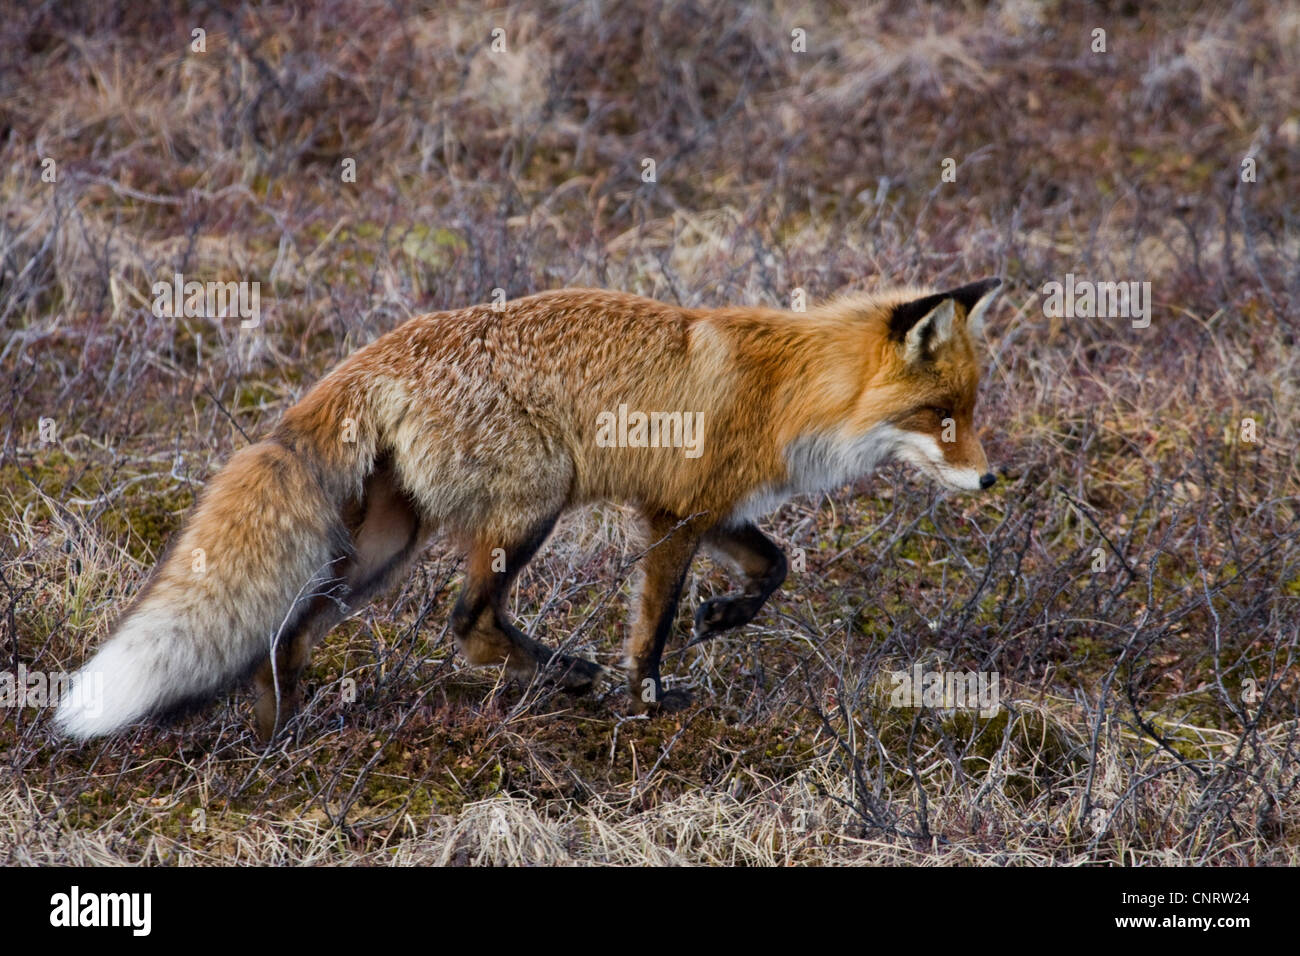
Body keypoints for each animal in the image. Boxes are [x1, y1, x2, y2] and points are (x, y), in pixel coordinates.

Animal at [54, 277, 1003, 742]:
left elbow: (778, 566)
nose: (993, 482)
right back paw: (561, 676)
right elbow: (653, 628)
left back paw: (277, 737)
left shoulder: (711, 511)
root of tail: (374, 354)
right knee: (467, 623)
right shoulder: (673, 517)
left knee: (286, 633)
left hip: (381, 549)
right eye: (941, 415)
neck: (788, 387)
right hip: (532, 502)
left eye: (970, 409)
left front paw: (725, 615)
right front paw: (649, 702)